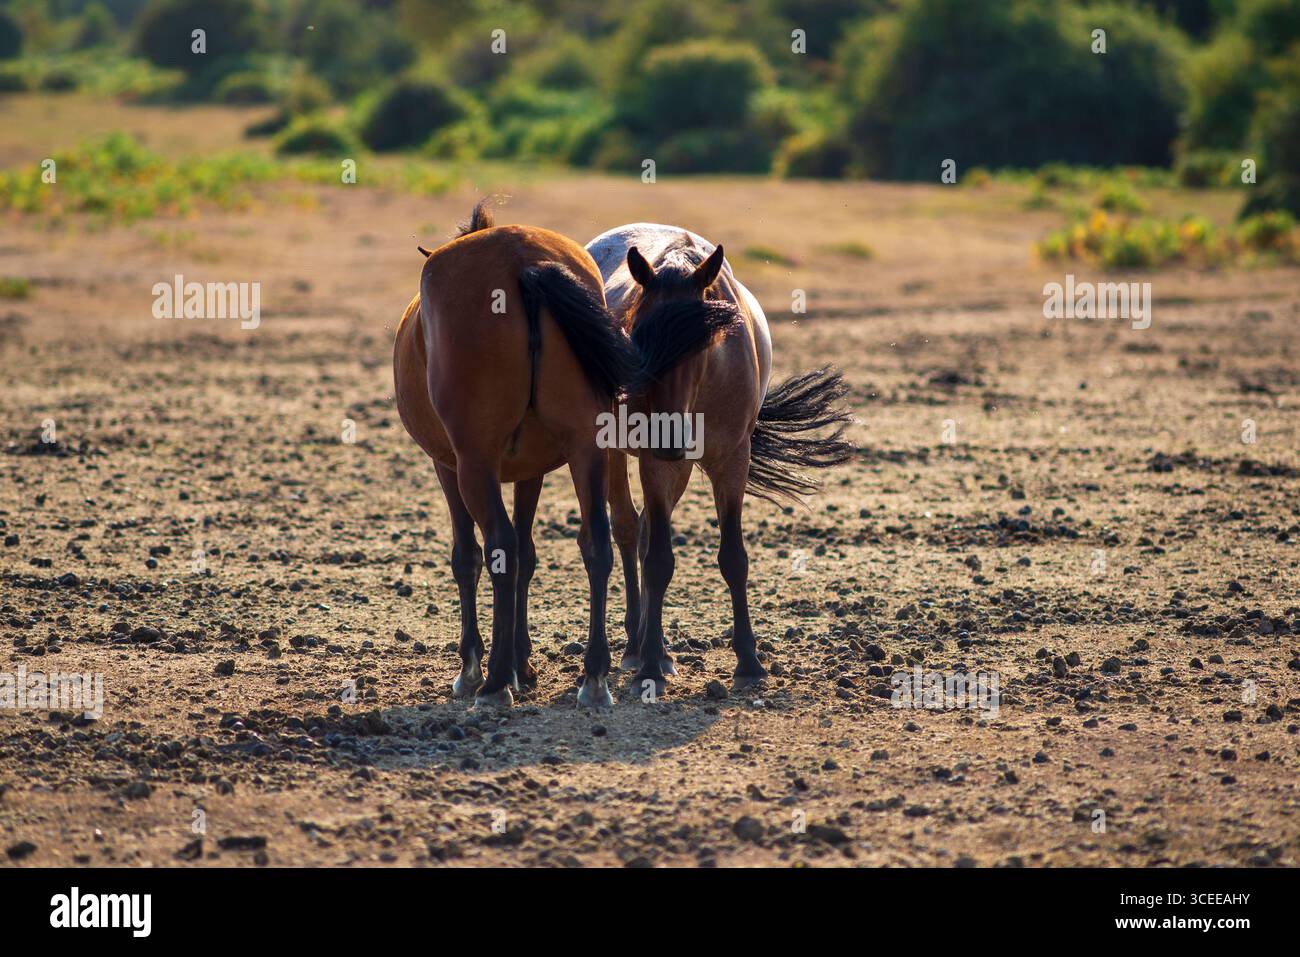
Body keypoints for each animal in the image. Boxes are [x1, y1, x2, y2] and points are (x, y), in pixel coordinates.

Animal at [394, 202, 638, 709]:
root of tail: (522, 259)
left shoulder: (448, 466)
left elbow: (470, 556)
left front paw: (477, 667)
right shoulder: (532, 470)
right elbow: (527, 555)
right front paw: (523, 664)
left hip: (474, 465)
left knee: (498, 546)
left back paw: (492, 684)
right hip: (587, 448)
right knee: (596, 544)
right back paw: (593, 676)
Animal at [587, 223, 853, 695]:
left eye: (703, 345)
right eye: (638, 340)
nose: (669, 438)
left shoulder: (731, 462)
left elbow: (733, 558)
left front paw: (748, 661)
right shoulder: (656, 463)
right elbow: (659, 561)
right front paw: (649, 666)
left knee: (642, 529)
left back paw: (657, 647)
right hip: (621, 454)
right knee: (627, 529)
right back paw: (638, 647)